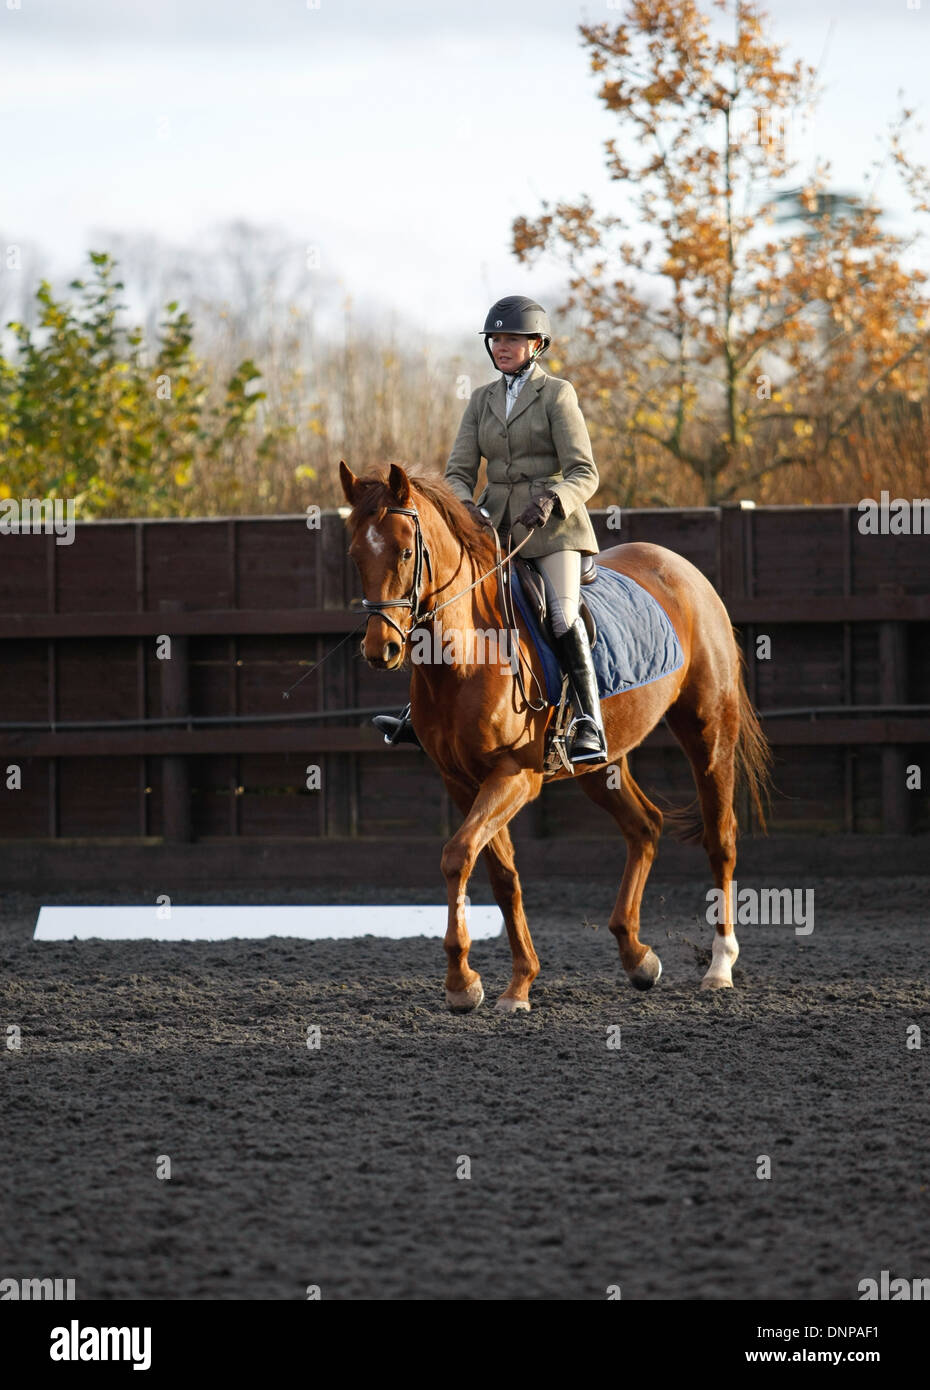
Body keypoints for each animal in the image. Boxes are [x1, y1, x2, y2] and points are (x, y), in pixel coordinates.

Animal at [339, 460, 772, 1013]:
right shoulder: (461, 781)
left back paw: (719, 966)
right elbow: (499, 872)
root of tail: (681, 567)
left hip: (708, 730)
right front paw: (513, 981)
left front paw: (464, 982)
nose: (382, 649)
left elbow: (458, 856)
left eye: (406, 552)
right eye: (356, 555)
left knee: (720, 837)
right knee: (645, 826)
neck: (467, 655)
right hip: (602, 764)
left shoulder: (514, 776)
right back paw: (637, 956)